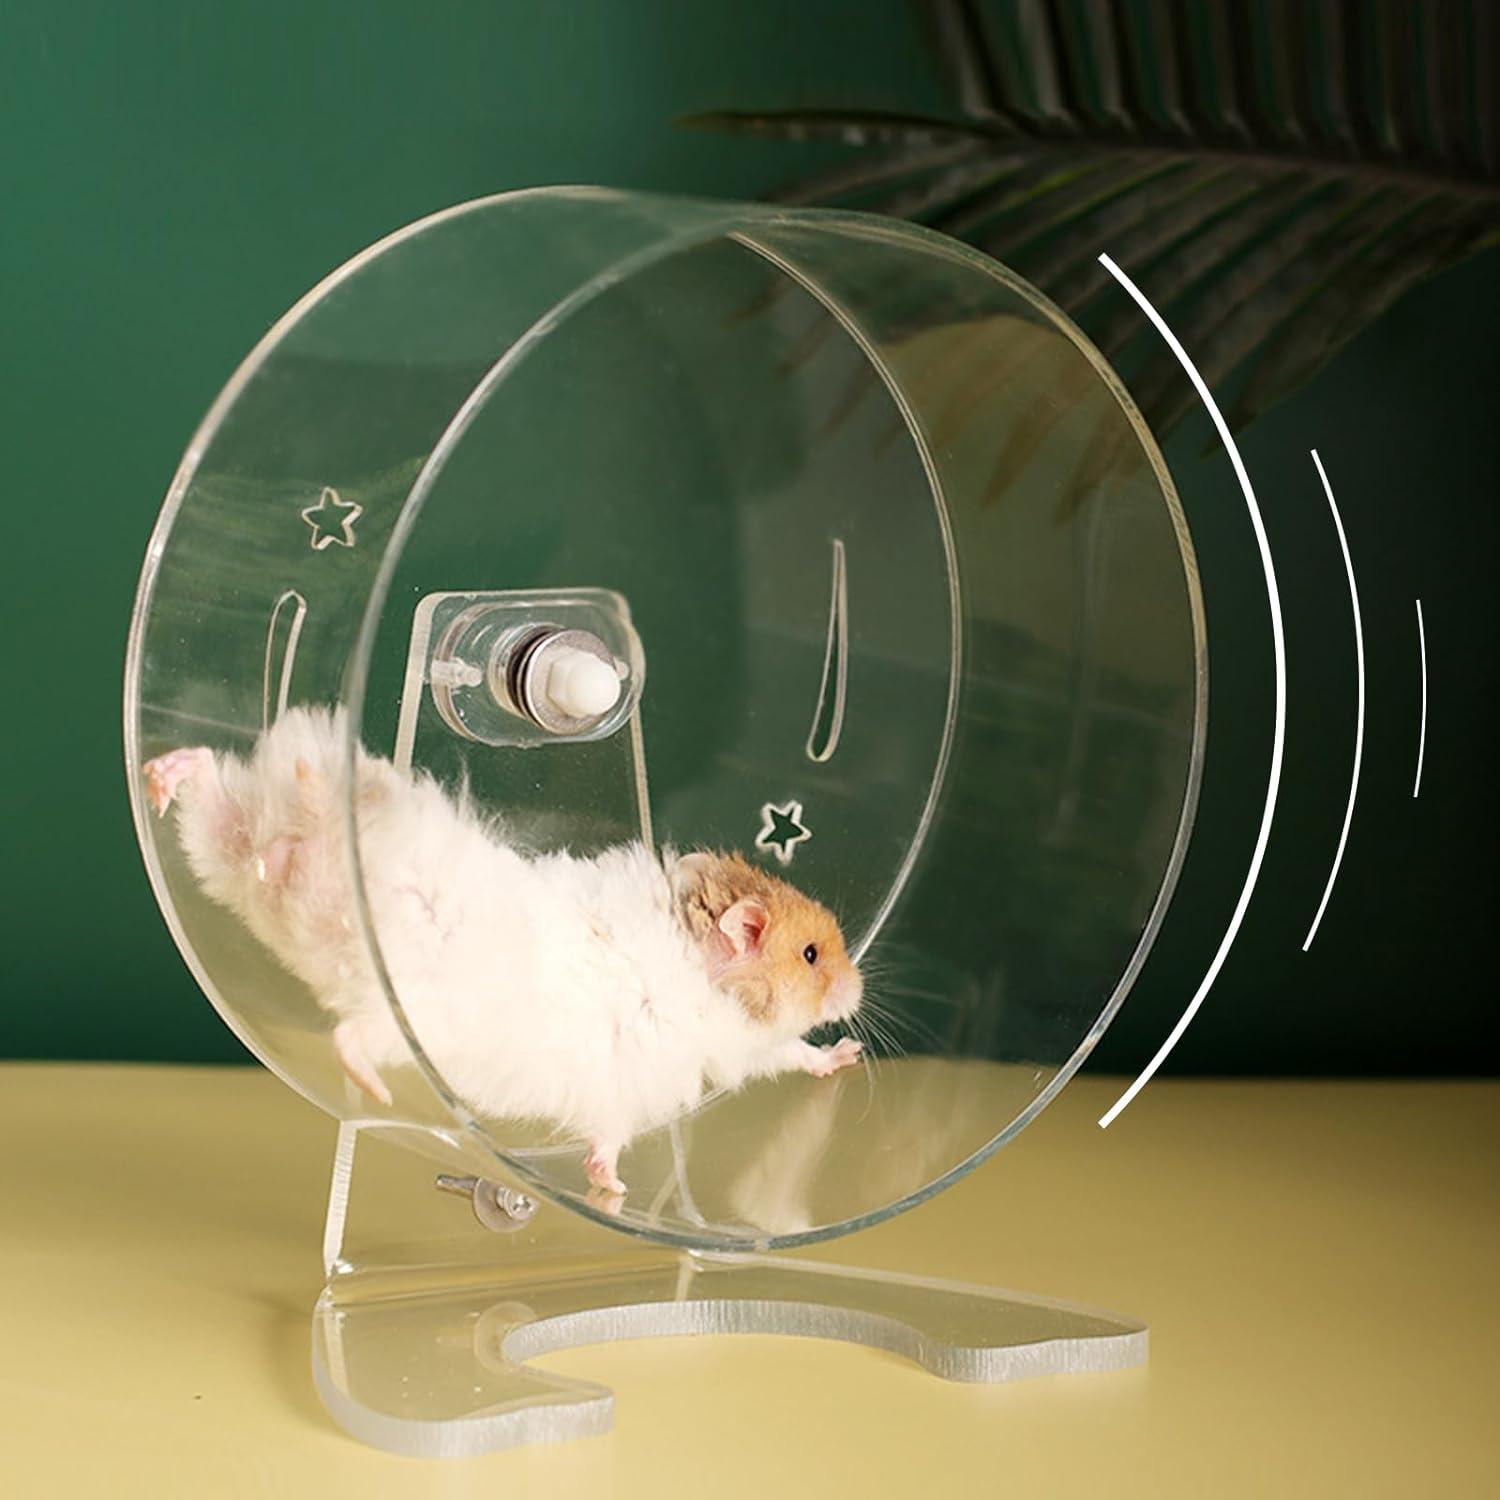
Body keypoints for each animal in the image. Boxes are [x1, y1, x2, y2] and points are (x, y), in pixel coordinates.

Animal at [143, 706, 863, 1196]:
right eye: (810, 955)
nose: (860, 987)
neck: (698, 968)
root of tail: (300, 844)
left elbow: (798, 1054)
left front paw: (846, 1056)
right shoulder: (669, 1069)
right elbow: (625, 1129)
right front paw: (613, 1187)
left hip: (225, 852)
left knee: (213, 786)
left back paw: (158, 776)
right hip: (406, 1007)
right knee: (351, 1037)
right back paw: (375, 1092)